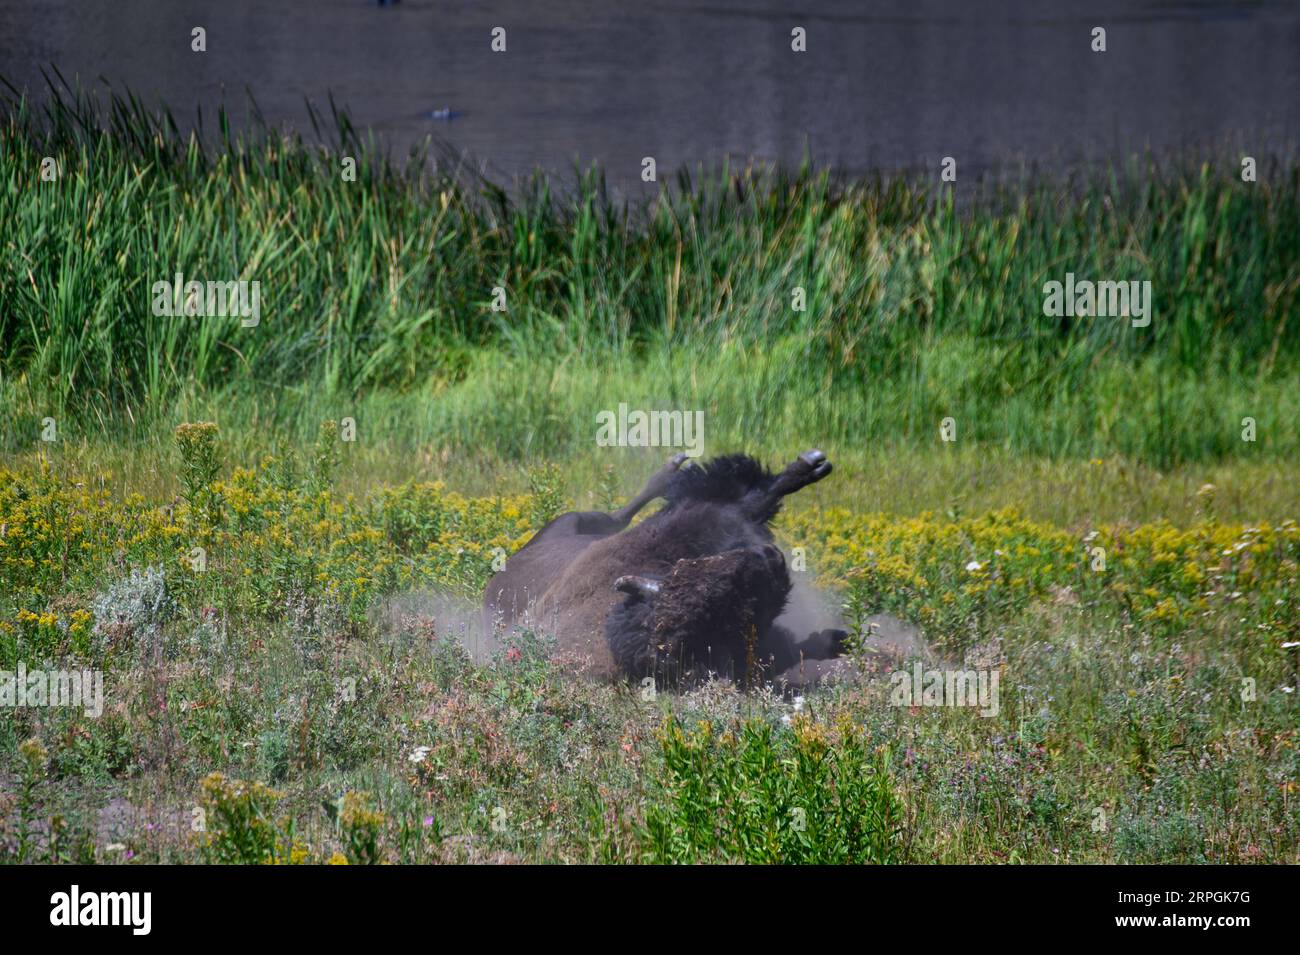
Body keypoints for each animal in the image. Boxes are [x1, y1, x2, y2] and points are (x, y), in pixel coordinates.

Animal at [483, 450, 849, 687]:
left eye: (702, 576)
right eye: (729, 608)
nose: (770, 558)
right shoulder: (714, 518)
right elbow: (758, 498)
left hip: (574, 521)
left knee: (619, 515)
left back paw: (671, 468)